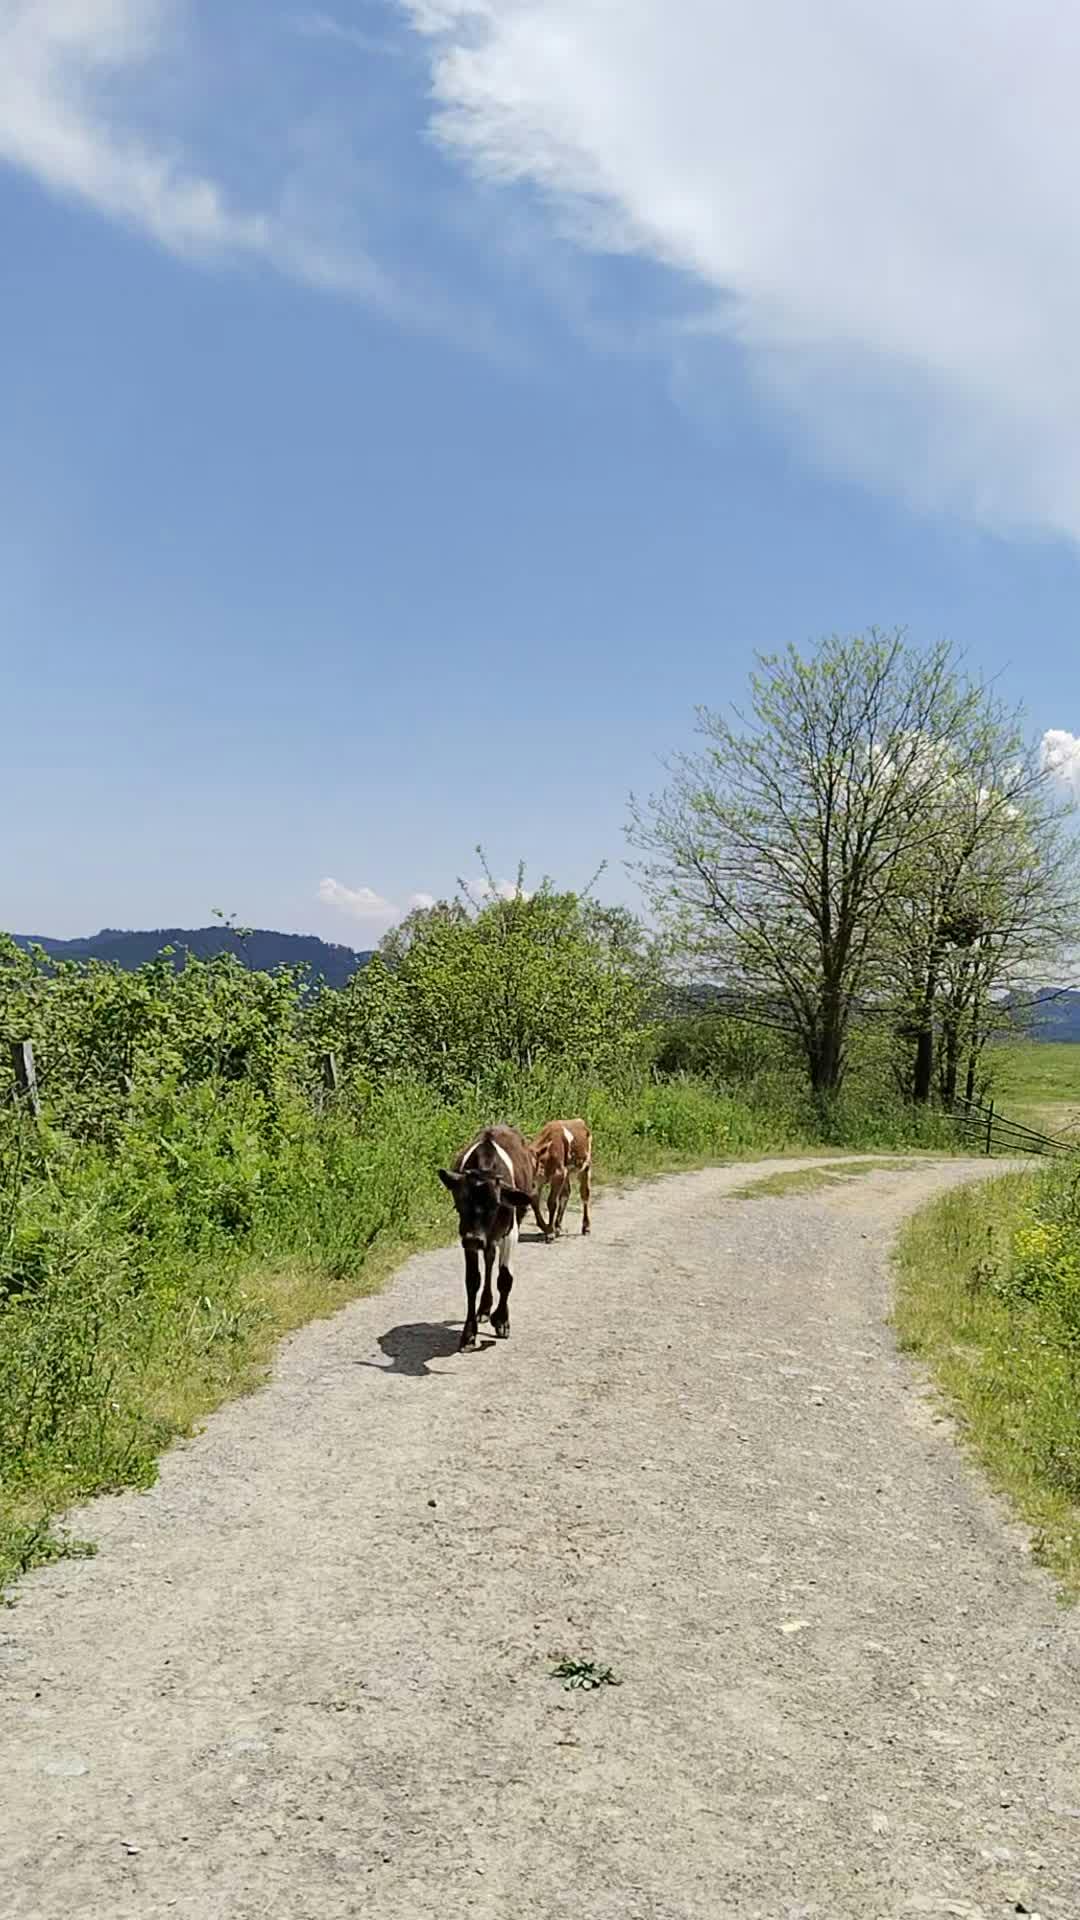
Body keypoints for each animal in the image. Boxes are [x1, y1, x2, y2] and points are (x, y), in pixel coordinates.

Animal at [437, 1127, 535, 1350]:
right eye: (460, 1201)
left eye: (495, 1204)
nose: (474, 1239)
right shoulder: (466, 1238)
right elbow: (472, 1280)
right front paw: (469, 1333)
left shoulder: (511, 1233)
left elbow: (505, 1278)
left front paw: (502, 1320)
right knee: (489, 1258)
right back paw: (483, 1308)